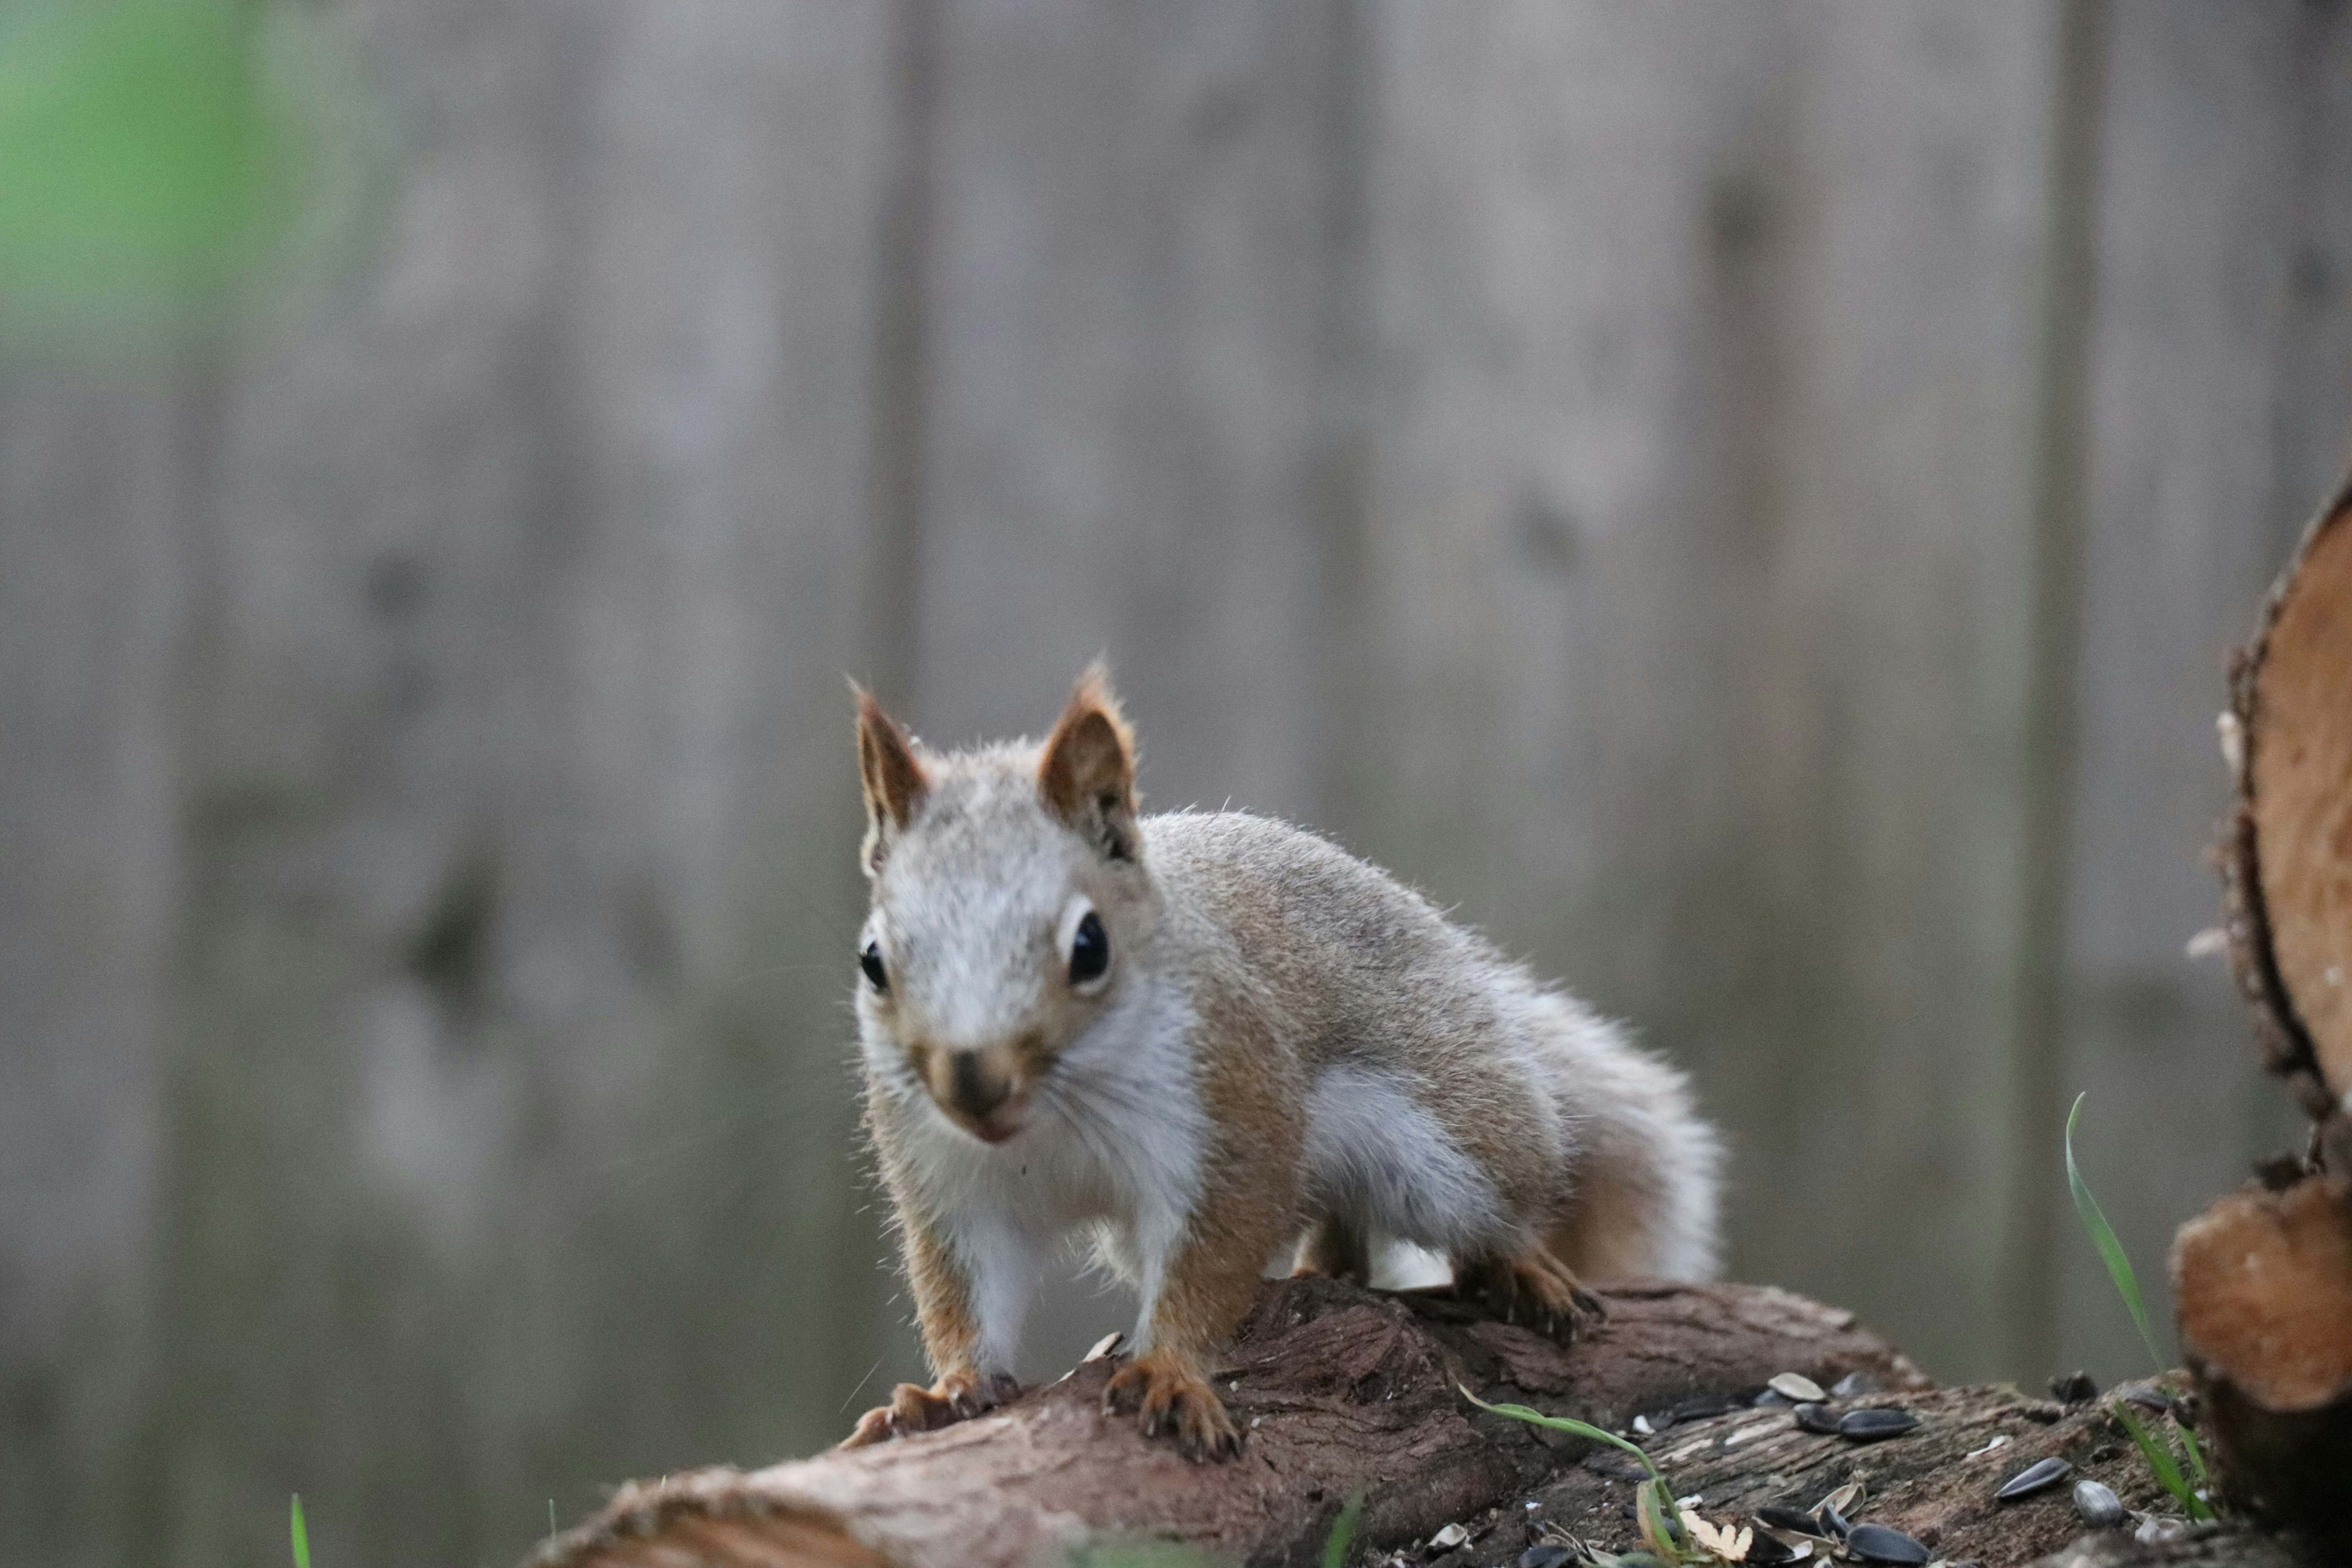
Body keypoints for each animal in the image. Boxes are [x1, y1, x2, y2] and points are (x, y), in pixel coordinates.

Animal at [840, 665, 1722, 1462]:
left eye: (1090, 946)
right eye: (872, 959)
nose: (974, 1085)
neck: (1056, 1112)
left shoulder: (1234, 1121)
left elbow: (1208, 1267)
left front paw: (1170, 1372)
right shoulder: (955, 1182)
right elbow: (967, 1295)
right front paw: (948, 1393)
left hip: (1453, 1149)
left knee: (1497, 1203)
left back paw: (1521, 1266)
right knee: (1340, 1228)